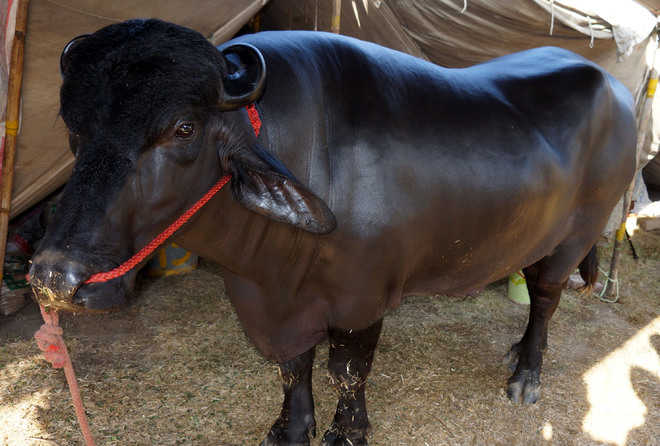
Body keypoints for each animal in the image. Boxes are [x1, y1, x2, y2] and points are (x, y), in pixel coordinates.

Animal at [30, 19, 635, 446]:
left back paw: (527, 373)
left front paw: (347, 432)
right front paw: (291, 429)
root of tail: (615, 90)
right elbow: (292, 366)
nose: (56, 276)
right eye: (73, 128)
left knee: (546, 297)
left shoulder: (361, 298)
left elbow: (347, 371)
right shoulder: (264, 300)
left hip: (576, 237)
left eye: (183, 128)